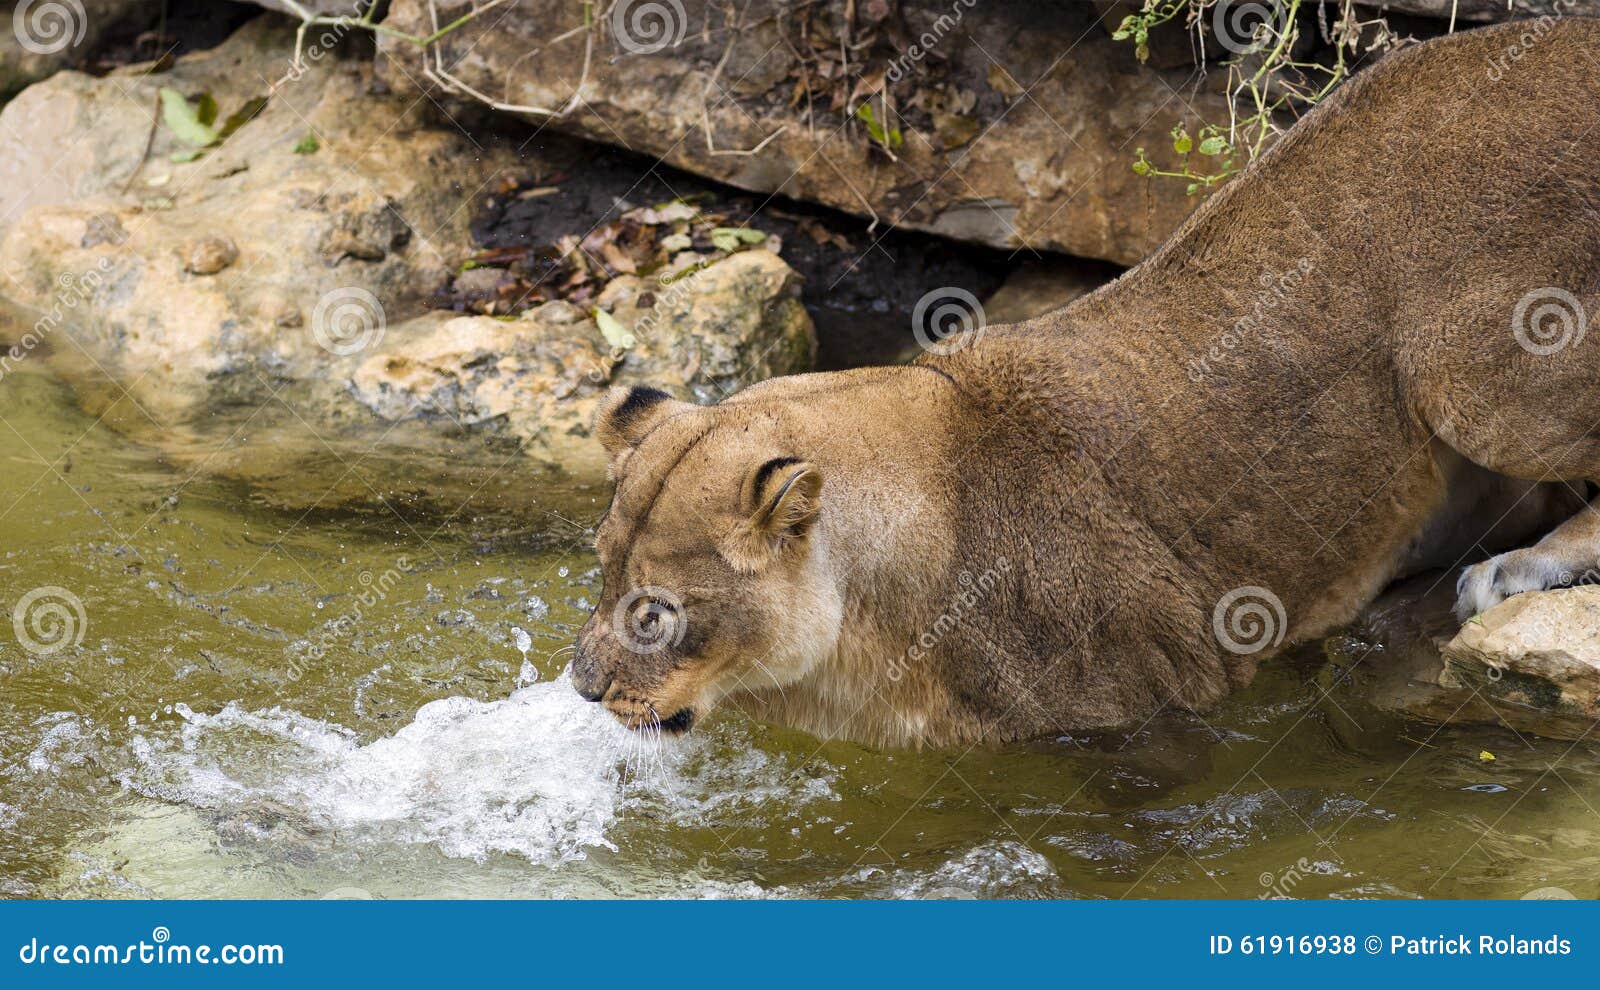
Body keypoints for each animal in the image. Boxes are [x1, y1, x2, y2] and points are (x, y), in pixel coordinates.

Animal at [570, 17, 1600, 747]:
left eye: (656, 614)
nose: (581, 687)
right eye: (600, 573)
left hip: (1466, 368)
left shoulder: (1141, 717)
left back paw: (1519, 568)